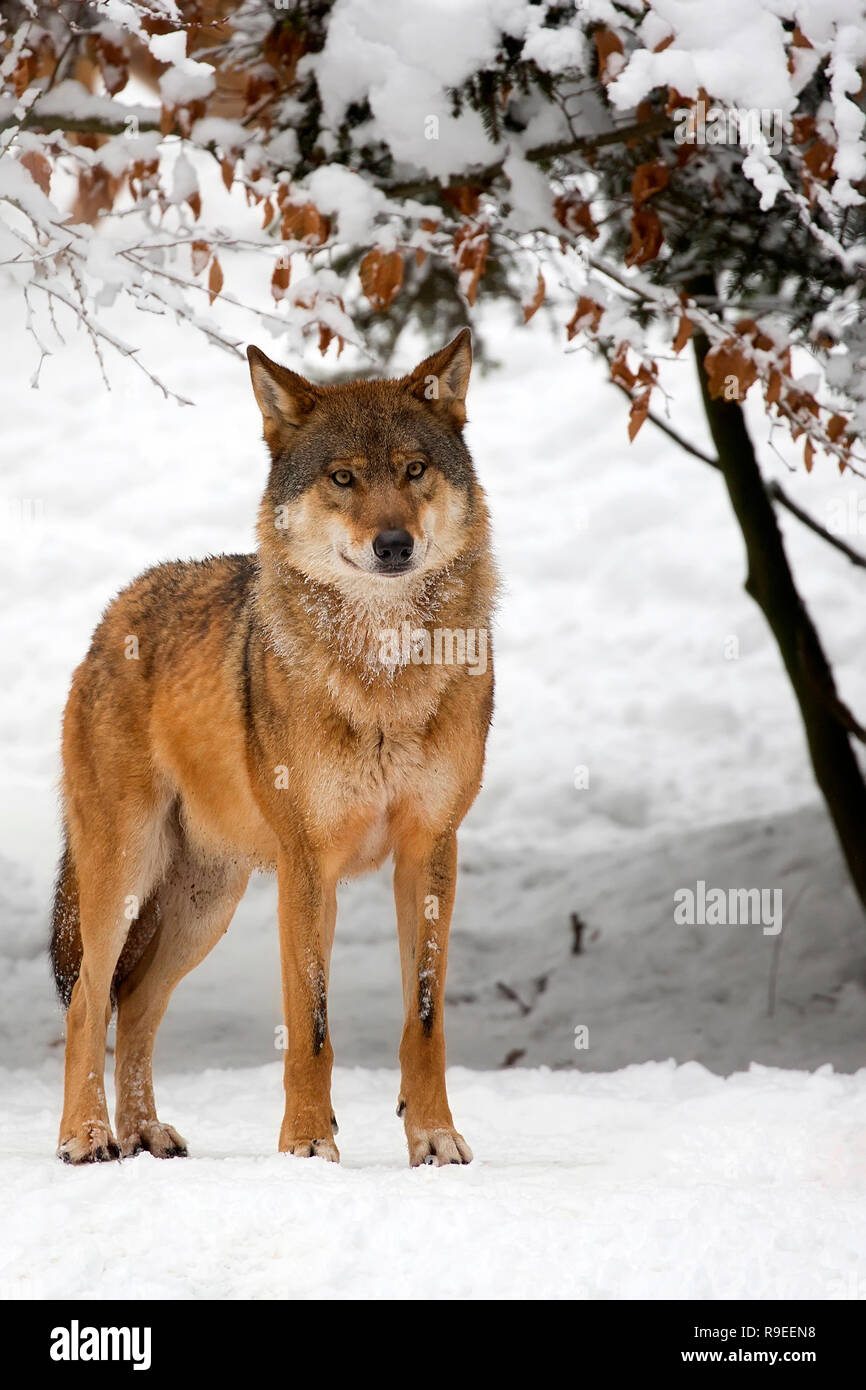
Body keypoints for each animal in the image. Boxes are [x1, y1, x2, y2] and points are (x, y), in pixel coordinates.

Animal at [50, 328, 497, 1167]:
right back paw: (87, 1136)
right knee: (89, 999)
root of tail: (112, 614)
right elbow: (310, 1027)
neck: (383, 677)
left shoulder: (431, 849)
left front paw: (433, 1139)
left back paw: (143, 1130)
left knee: (137, 1001)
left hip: (205, 904)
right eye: (343, 478)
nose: (394, 544)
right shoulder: (307, 864)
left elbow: (424, 1022)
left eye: (414, 471)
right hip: (125, 874)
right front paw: (308, 1147)